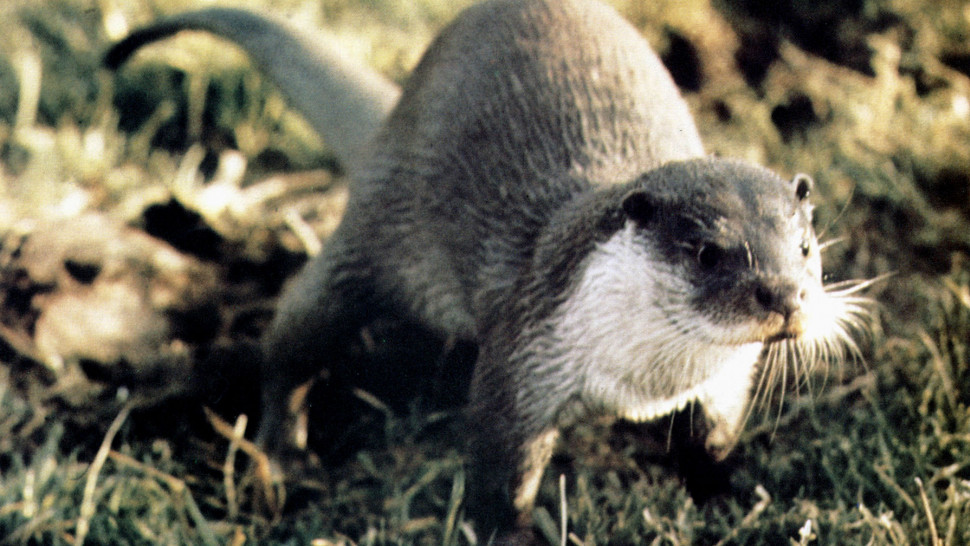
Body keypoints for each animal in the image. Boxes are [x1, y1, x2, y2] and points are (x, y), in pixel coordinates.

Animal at [106, 0, 870, 543]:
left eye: (805, 247)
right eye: (710, 252)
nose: (786, 296)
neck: (645, 380)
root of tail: (397, 110)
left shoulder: (724, 377)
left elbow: (714, 435)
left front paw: (727, 491)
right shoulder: (525, 352)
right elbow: (500, 466)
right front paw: (512, 535)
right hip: (376, 235)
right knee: (295, 332)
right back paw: (282, 459)